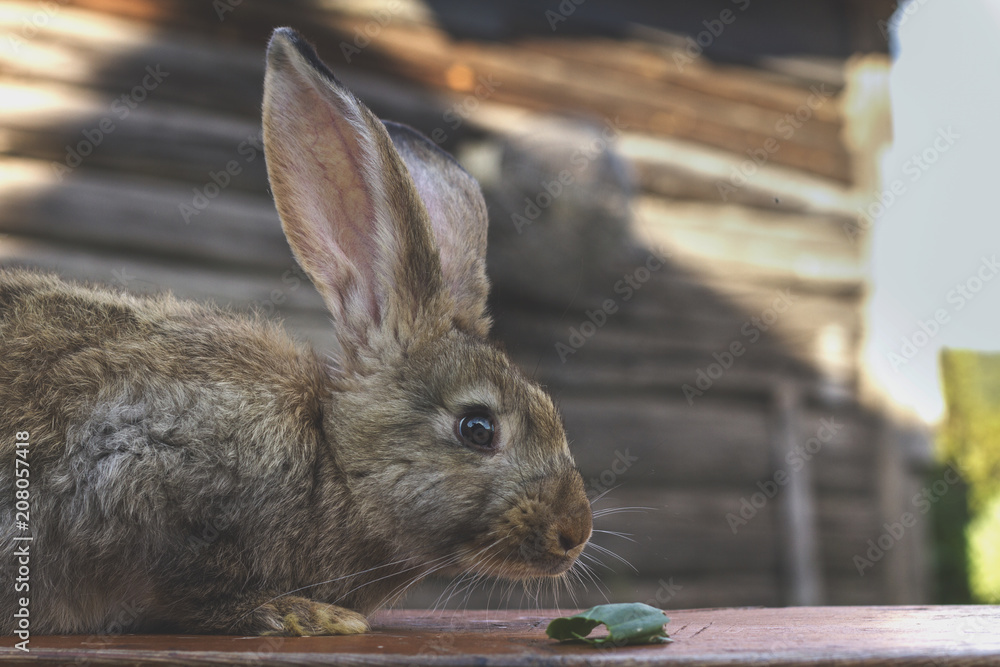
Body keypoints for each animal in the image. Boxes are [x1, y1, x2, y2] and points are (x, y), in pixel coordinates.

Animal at [0, 27, 592, 637]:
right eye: (478, 428)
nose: (575, 531)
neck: (330, 461)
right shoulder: (137, 461)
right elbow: (193, 591)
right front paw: (302, 614)